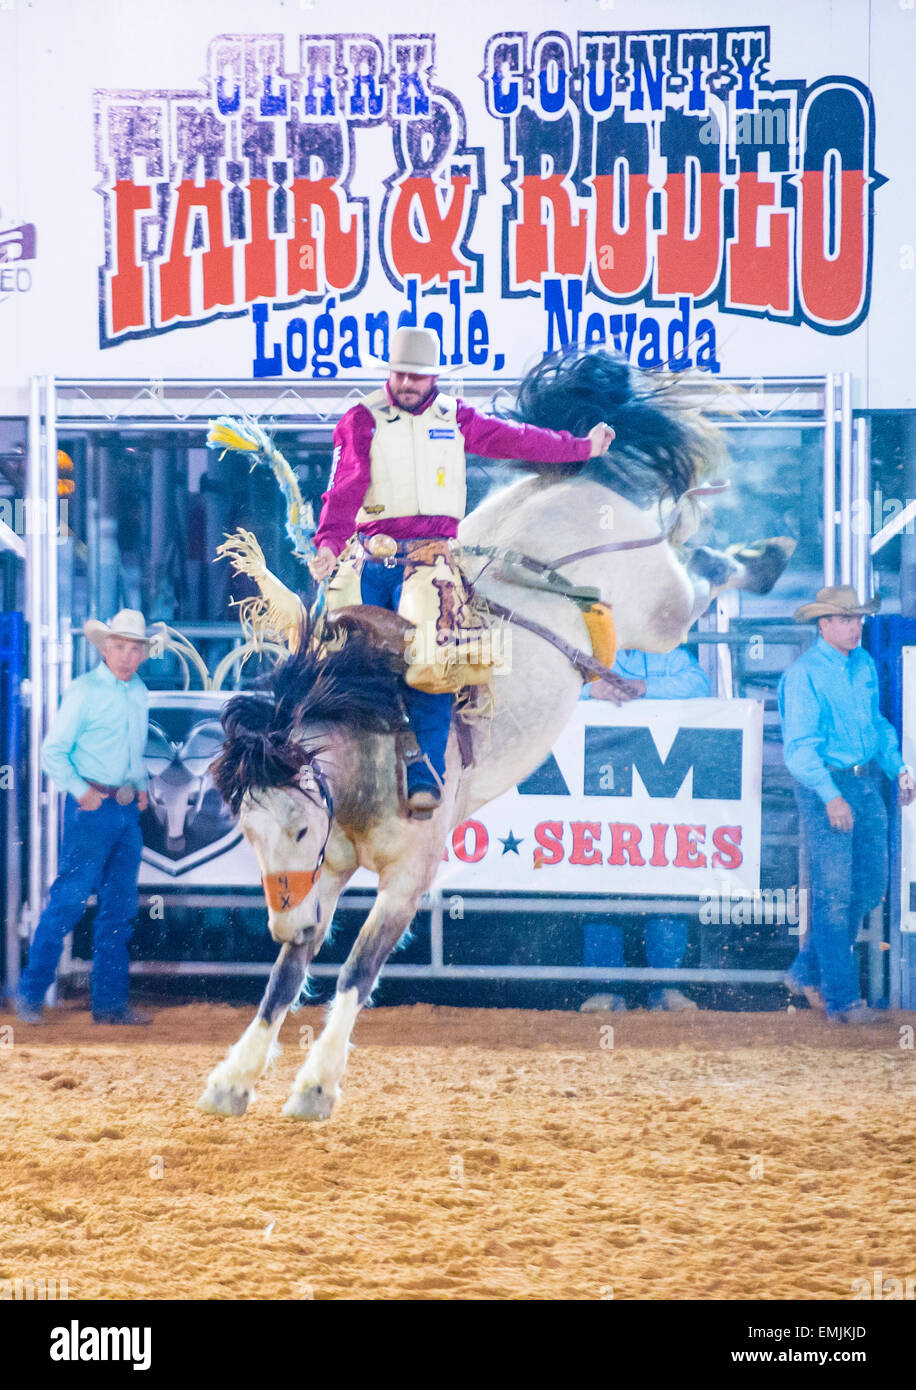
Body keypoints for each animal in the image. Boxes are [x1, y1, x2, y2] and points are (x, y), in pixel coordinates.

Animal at [198, 350, 794, 1120]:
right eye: (245, 832)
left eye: (297, 827)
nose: (283, 924)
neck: (374, 748)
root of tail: (574, 480)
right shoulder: (317, 876)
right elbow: (284, 976)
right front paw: (234, 1076)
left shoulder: (407, 876)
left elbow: (357, 970)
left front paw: (316, 1084)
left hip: (661, 608)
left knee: (704, 575)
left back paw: (766, 556)